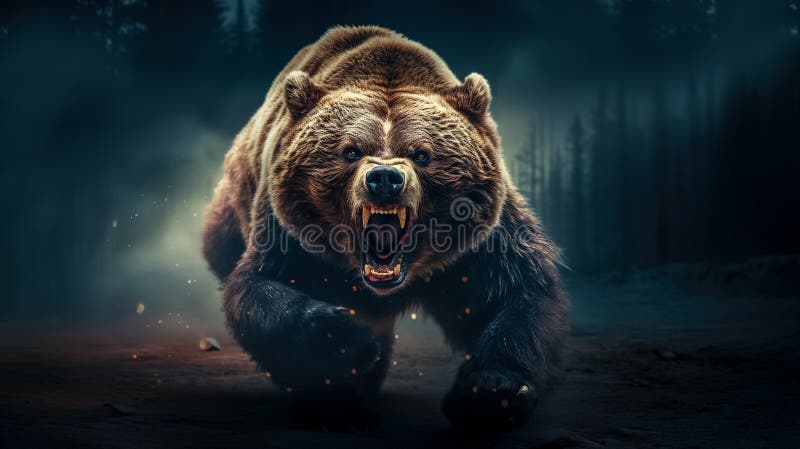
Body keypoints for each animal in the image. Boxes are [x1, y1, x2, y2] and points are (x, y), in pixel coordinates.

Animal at [203, 26, 567, 431]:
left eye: (421, 153)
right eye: (350, 150)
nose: (385, 179)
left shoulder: (478, 241)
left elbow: (514, 292)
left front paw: (492, 393)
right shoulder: (293, 233)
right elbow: (261, 290)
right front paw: (346, 346)